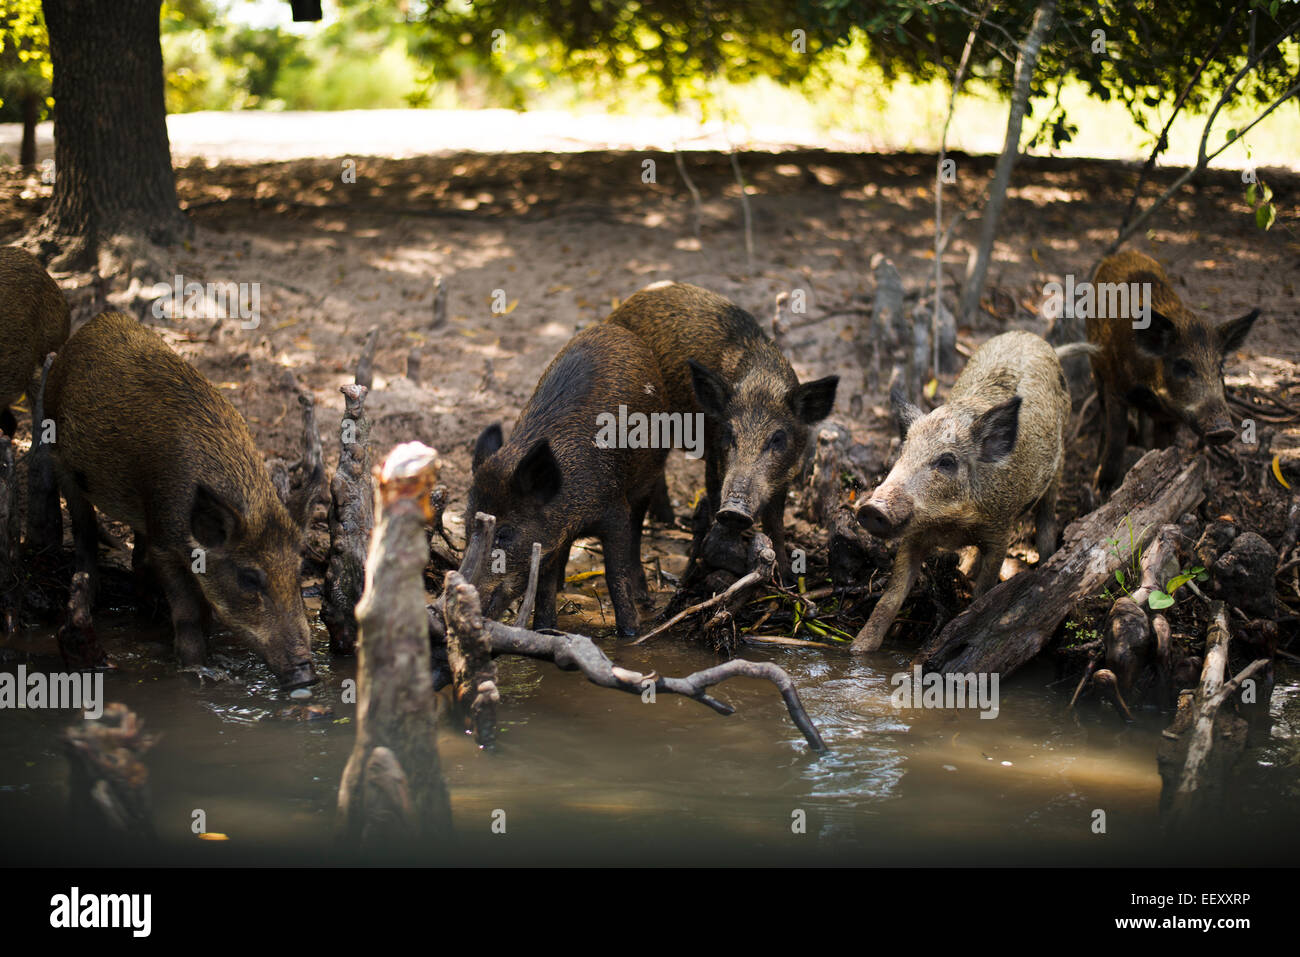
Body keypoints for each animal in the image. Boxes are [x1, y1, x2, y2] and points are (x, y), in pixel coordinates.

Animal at [44, 312, 316, 687]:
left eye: (300, 570)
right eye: (249, 577)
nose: (307, 674)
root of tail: (98, 321)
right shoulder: (166, 543)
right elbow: (187, 612)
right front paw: (197, 669)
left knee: (136, 558)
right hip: (61, 462)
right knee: (84, 531)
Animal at [465, 322, 670, 637]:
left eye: (505, 533)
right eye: (466, 526)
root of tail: (614, 329)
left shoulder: (615, 511)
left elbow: (615, 574)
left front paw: (630, 632)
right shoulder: (551, 539)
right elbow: (544, 587)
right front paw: (545, 631)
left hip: (649, 476)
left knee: (638, 530)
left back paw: (643, 596)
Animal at [606, 281, 838, 573]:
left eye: (777, 438)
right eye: (729, 434)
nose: (735, 509)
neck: (762, 382)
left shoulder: (785, 476)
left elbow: (776, 525)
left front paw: (788, 576)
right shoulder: (713, 458)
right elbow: (715, 498)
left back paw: (673, 522)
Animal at [852, 331, 1078, 653]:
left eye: (947, 461)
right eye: (903, 452)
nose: (872, 508)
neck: (949, 525)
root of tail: (1033, 337)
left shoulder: (1000, 531)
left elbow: (982, 592)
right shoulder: (913, 536)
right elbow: (889, 599)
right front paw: (857, 652)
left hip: (1058, 467)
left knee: (1046, 521)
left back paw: (1047, 561)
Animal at [1088, 250, 1261, 493]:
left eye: (1220, 367)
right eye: (1183, 366)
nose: (1224, 430)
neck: (1151, 391)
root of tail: (1125, 252)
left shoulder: (1170, 415)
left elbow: (1164, 446)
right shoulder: (1116, 389)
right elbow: (1116, 439)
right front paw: (1101, 489)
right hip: (1095, 366)